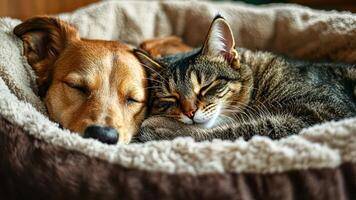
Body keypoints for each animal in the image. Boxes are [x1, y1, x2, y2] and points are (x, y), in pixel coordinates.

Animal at [134, 14, 356, 141]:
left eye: (206, 86)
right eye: (170, 97)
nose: (190, 112)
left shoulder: (319, 113)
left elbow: (232, 131)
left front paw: (159, 130)